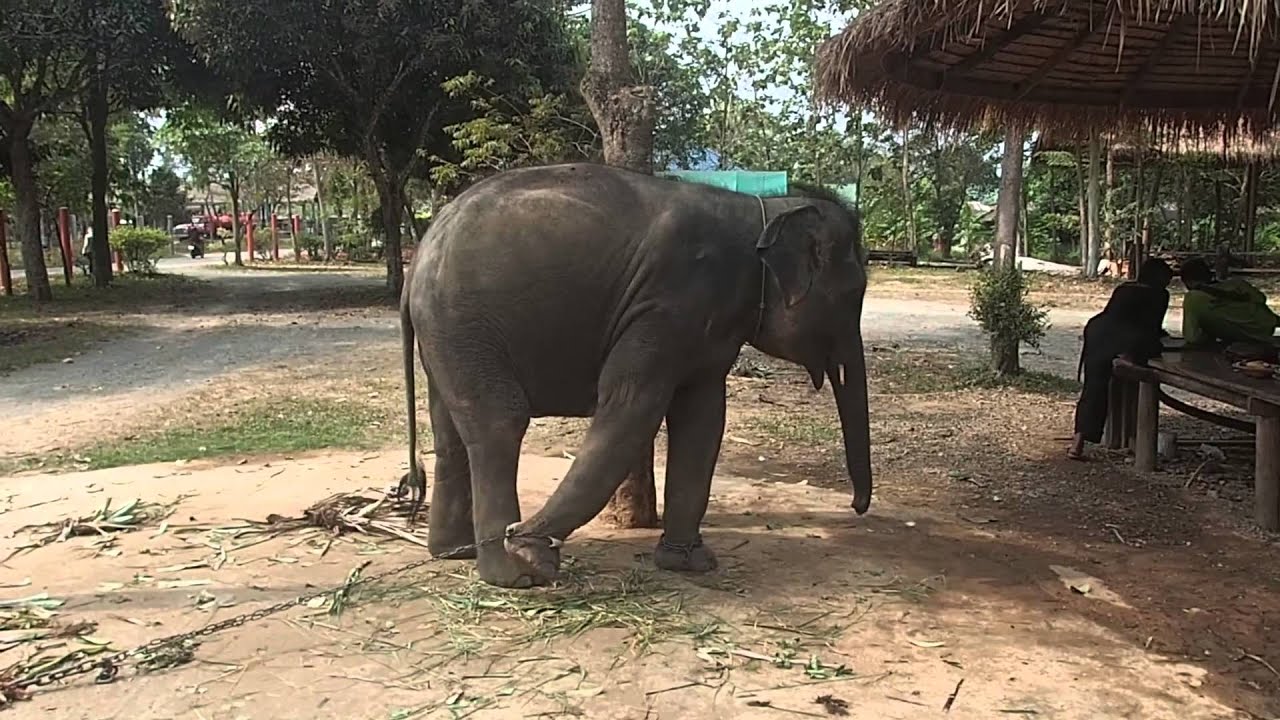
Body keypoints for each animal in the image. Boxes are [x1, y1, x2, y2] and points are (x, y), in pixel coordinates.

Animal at [398, 162, 872, 589]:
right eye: (855, 295)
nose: (856, 506)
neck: (766, 210)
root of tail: (418, 257)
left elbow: (704, 419)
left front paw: (690, 564)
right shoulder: (668, 302)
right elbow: (633, 405)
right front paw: (529, 548)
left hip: (447, 333)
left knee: (450, 429)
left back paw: (455, 552)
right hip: (464, 322)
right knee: (501, 422)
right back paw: (514, 575)